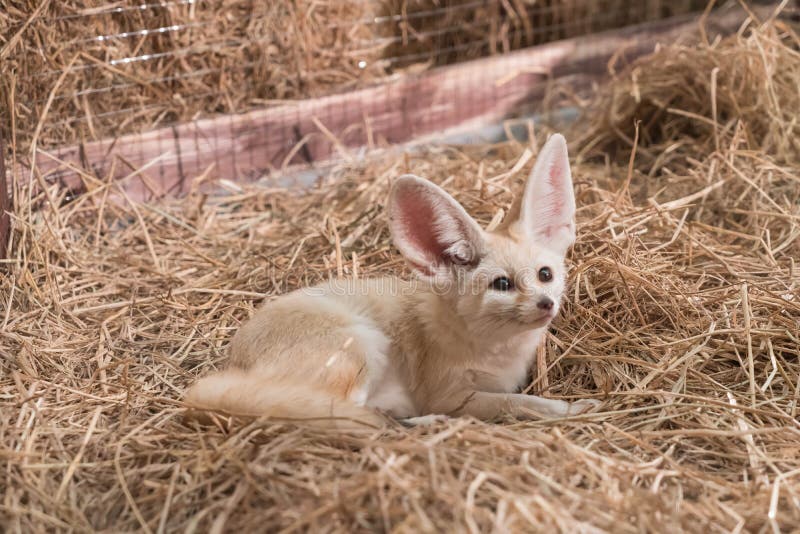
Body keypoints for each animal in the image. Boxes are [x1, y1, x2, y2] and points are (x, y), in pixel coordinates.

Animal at [184, 134, 601, 429]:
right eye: (502, 284)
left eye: (545, 275)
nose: (546, 304)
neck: (494, 347)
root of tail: (230, 366)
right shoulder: (452, 395)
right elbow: (521, 403)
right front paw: (570, 408)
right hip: (365, 345)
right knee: (349, 413)